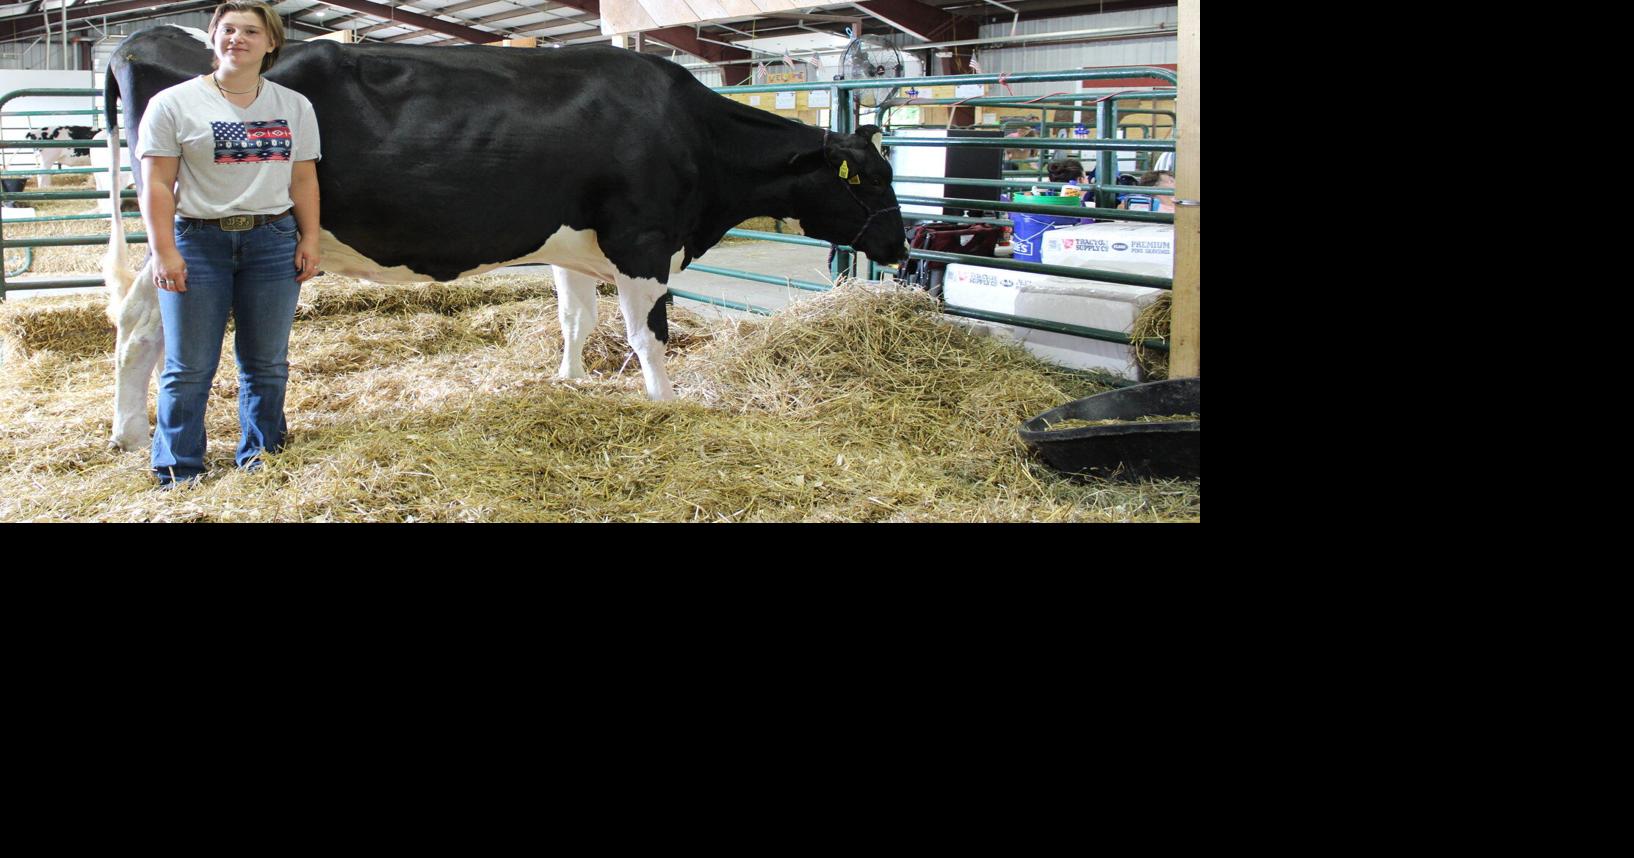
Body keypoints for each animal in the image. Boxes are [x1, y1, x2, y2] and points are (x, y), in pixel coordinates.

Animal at [101, 27, 908, 452]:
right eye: (869, 179)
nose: (902, 249)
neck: (694, 133)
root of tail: (151, 40)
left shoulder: (574, 245)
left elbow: (575, 317)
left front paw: (571, 381)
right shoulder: (644, 242)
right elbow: (650, 337)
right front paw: (666, 402)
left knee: (147, 325)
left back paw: (138, 431)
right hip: (181, 231)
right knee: (142, 325)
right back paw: (135, 435)